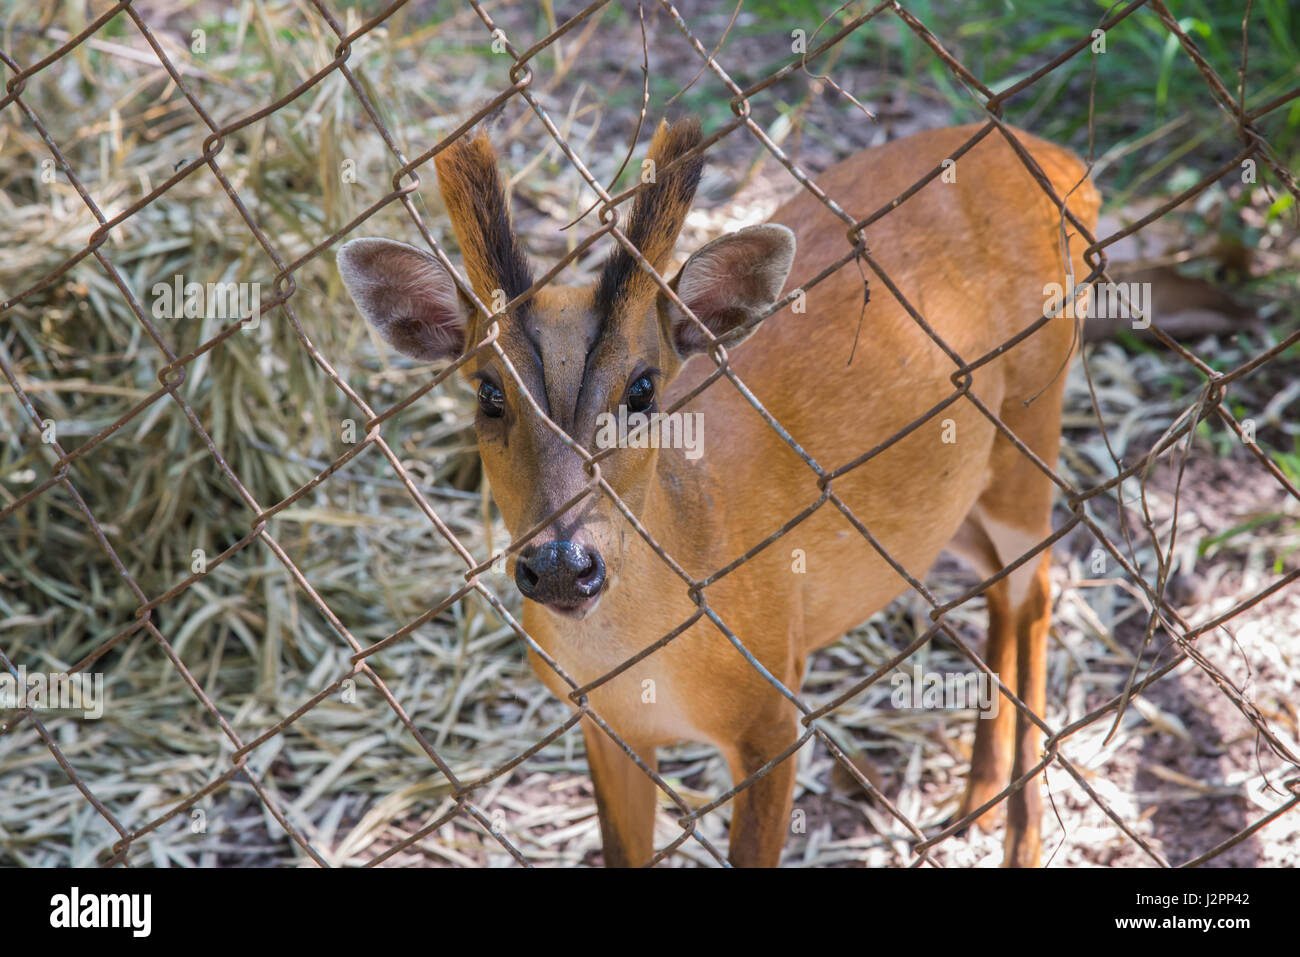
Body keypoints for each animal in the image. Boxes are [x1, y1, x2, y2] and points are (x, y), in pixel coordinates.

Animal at [336, 115, 1100, 867]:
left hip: (1033, 419)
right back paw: (979, 800)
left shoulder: (773, 711)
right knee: (1000, 583)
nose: (559, 564)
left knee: (1037, 589)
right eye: (489, 392)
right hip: (957, 496)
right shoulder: (606, 723)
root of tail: (1065, 166)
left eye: (643, 387)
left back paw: (1021, 836)